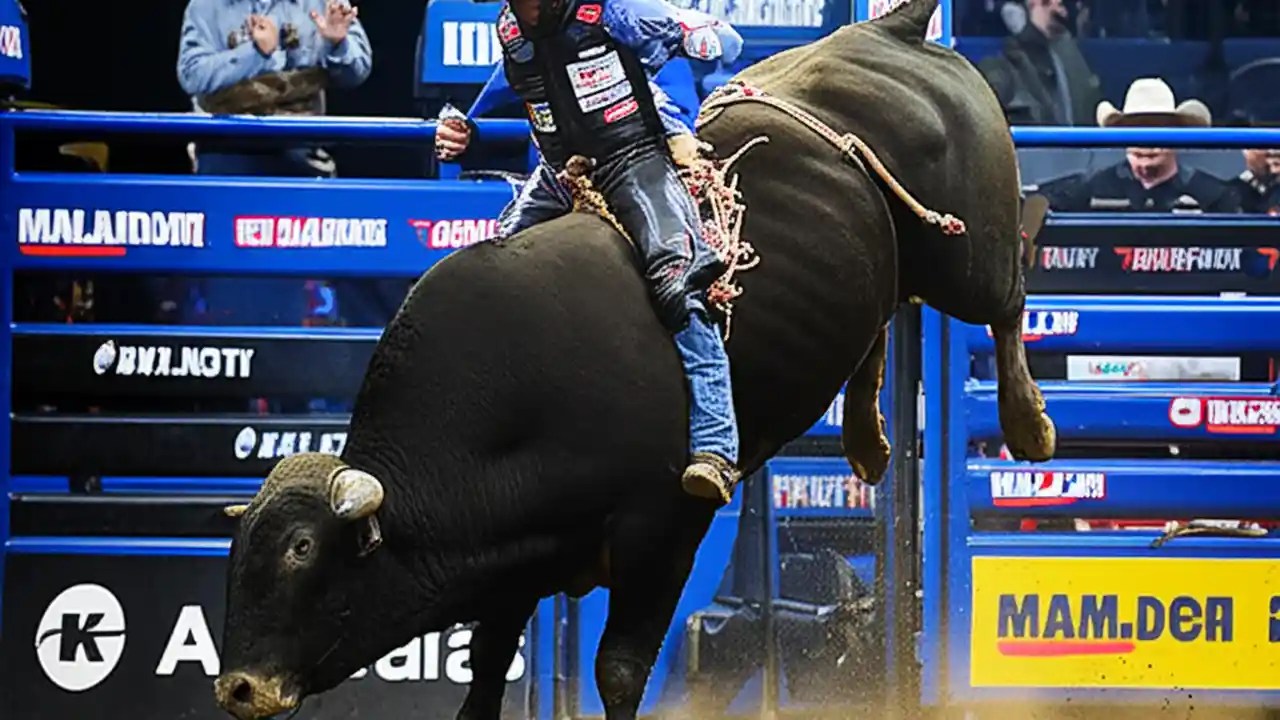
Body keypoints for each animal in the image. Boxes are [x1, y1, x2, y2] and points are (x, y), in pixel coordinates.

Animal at [213, 1, 1056, 718]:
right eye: (240, 550)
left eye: (300, 550)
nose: (239, 687)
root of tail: (894, 30)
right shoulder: (513, 560)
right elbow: (487, 664)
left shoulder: (663, 527)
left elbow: (617, 669)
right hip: (883, 266)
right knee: (880, 321)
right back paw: (868, 440)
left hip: (965, 253)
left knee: (1007, 298)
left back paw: (1028, 425)